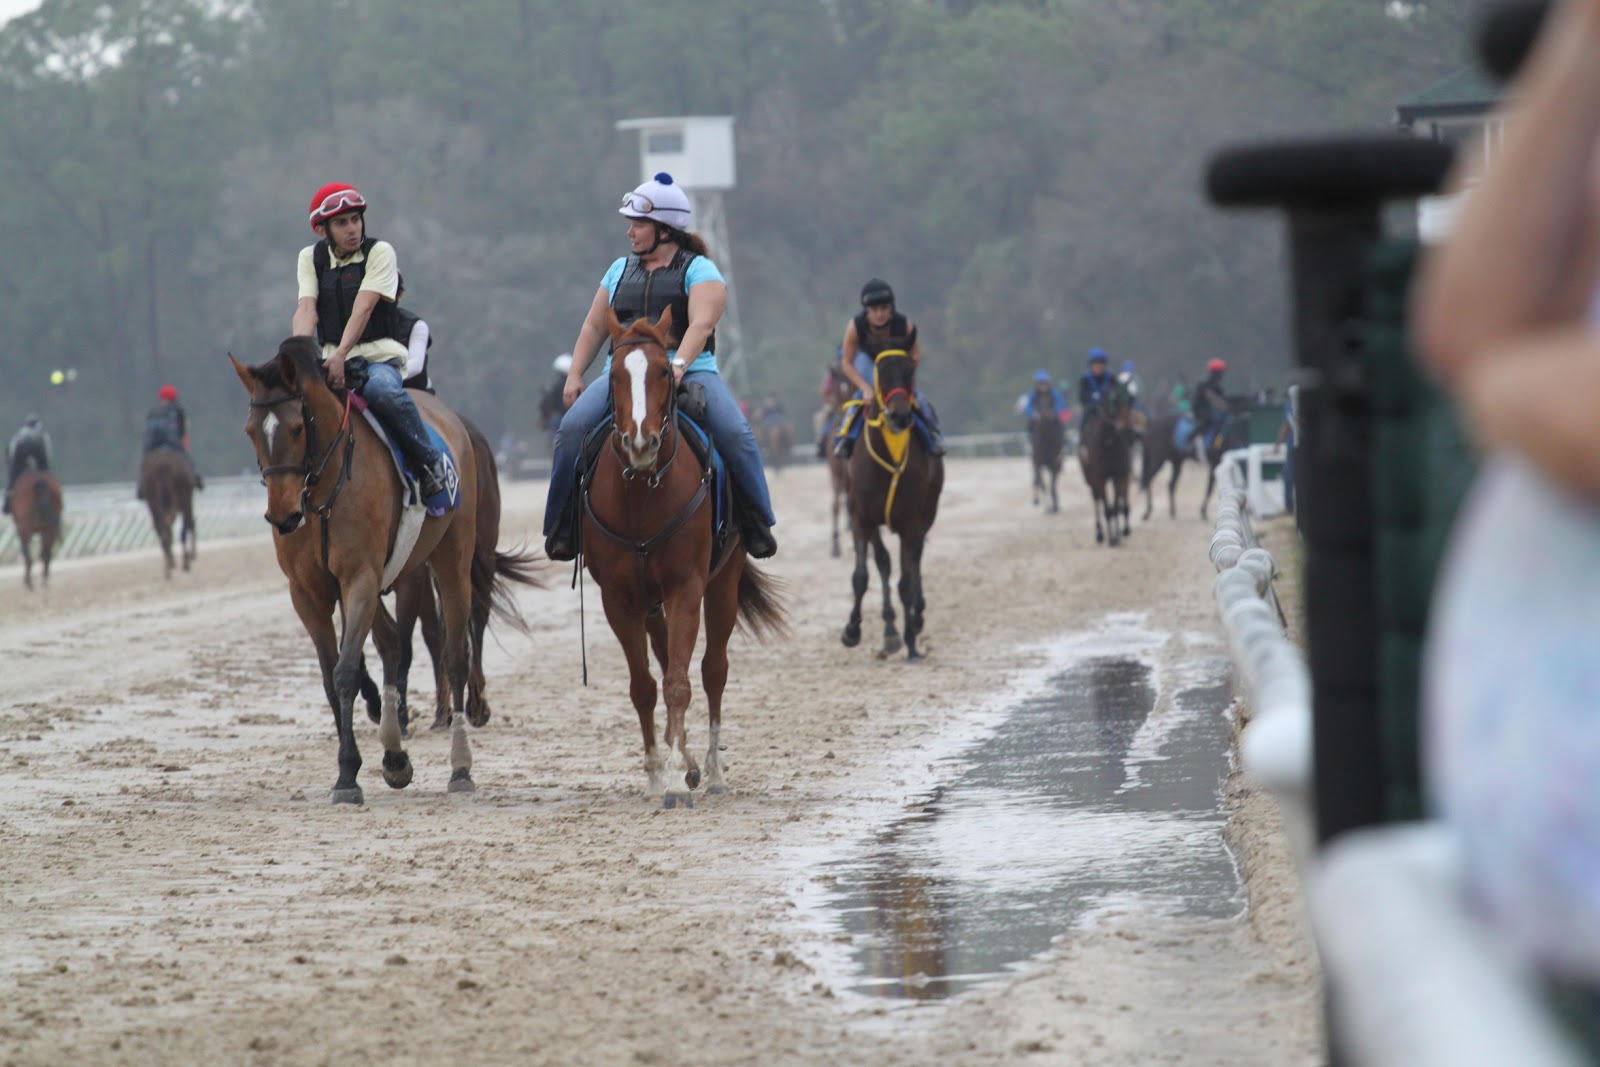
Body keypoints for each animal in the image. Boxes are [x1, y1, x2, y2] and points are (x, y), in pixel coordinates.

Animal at [138, 449, 197, 579]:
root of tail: (163, 466)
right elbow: (187, 525)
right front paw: (187, 559)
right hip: (181, 501)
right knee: (182, 525)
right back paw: (181, 562)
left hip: (157, 505)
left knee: (164, 528)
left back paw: (169, 567)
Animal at [232, 337, 490, 805]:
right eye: (251, 430)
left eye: (296, 427)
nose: (282, 515)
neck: (322, 494)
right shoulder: (307, 592)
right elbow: (331, 675)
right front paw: (362, 763)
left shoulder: (360, 578)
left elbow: (346, 670)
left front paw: (348, 775)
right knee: (391, 644)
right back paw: (394, 756)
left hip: (450, 559)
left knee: (455, 655)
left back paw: (460, 766)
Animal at [581, 307, 787, 807]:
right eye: (614, 375)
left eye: (662, 371)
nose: (641, 442)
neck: (642, 492)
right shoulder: (618, 599)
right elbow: (643, 686)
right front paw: (658, 774)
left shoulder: (686, 589)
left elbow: (679, 683)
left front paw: (676, 778)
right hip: (652, 604)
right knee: (664, 661)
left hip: (723, 584)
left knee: (714, 671)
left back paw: (712, 771)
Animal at [841, 348, 944, 660]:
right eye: (881, 375)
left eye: (909, 372)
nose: (899, 416)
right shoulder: (862, 517)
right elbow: (865, 574)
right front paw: (853, 631)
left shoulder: (910, 521)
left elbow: (906, 580)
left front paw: (911, 641)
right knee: (886, 563)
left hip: (928, 512)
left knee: (916, 559)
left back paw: (917, 617)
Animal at [1078, 384, 1133, 546]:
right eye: (1114, 402)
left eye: (1130, 400)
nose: (1129, 432)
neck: (1109, 444)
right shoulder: (1099, 477)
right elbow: (1107, 508)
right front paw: (1112, 539)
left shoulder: (1119, 474)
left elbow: (1115, 506)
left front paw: (1118, 536)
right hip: (1090, 477)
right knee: (1096, 499)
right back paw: (1100, 534)